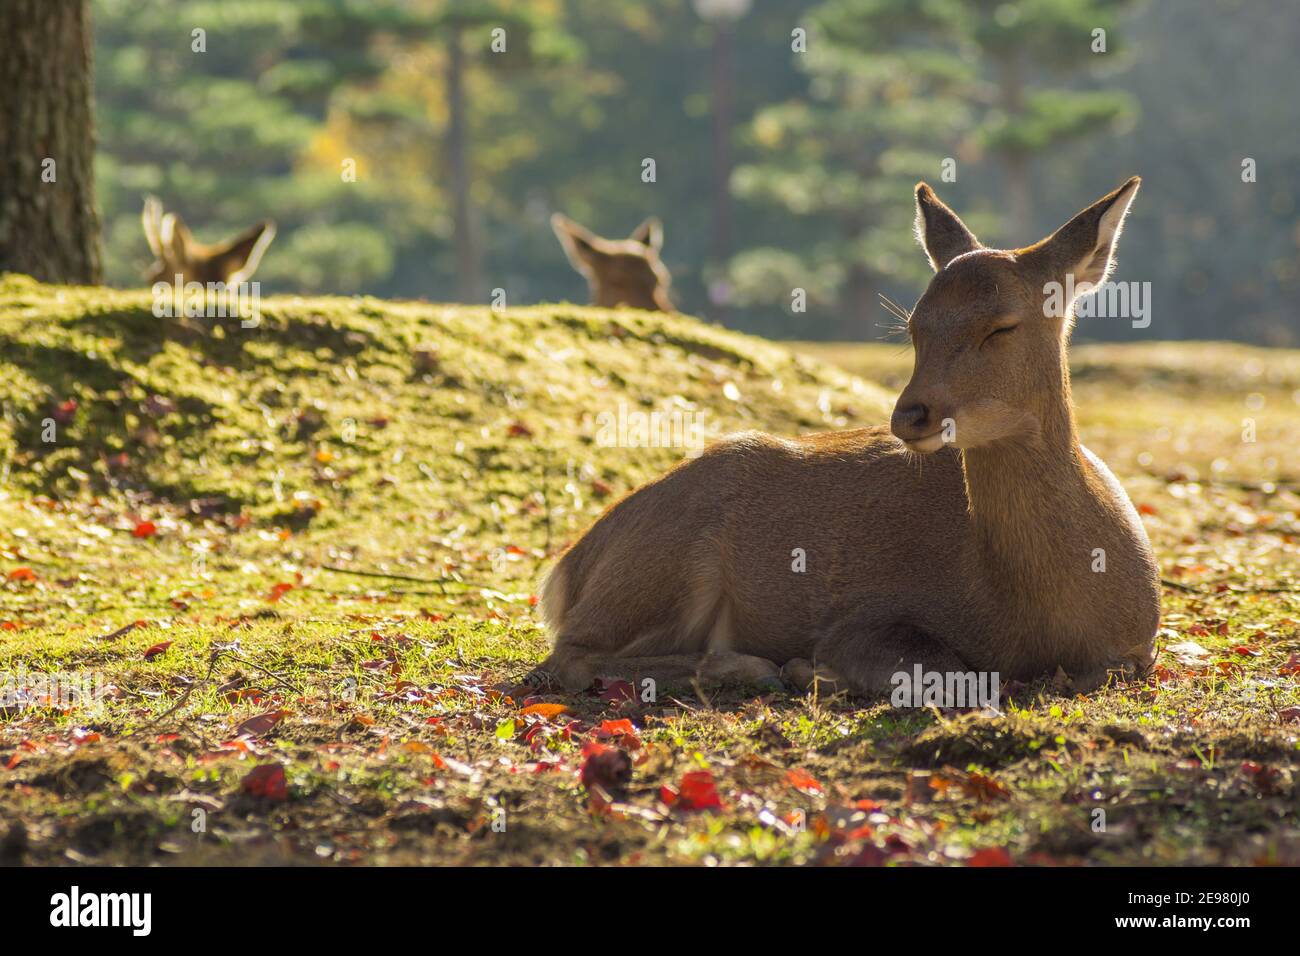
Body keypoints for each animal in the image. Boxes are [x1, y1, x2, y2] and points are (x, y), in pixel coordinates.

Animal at [532, 178, 1160, 698]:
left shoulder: (1141, 644)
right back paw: (753, 667)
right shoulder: (865, 615)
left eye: (1002, 326)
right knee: (571, 654)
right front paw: (813, 669)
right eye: (914, 324)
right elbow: (950, 674)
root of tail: (563, 571)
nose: (911, 415)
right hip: (666, 559)